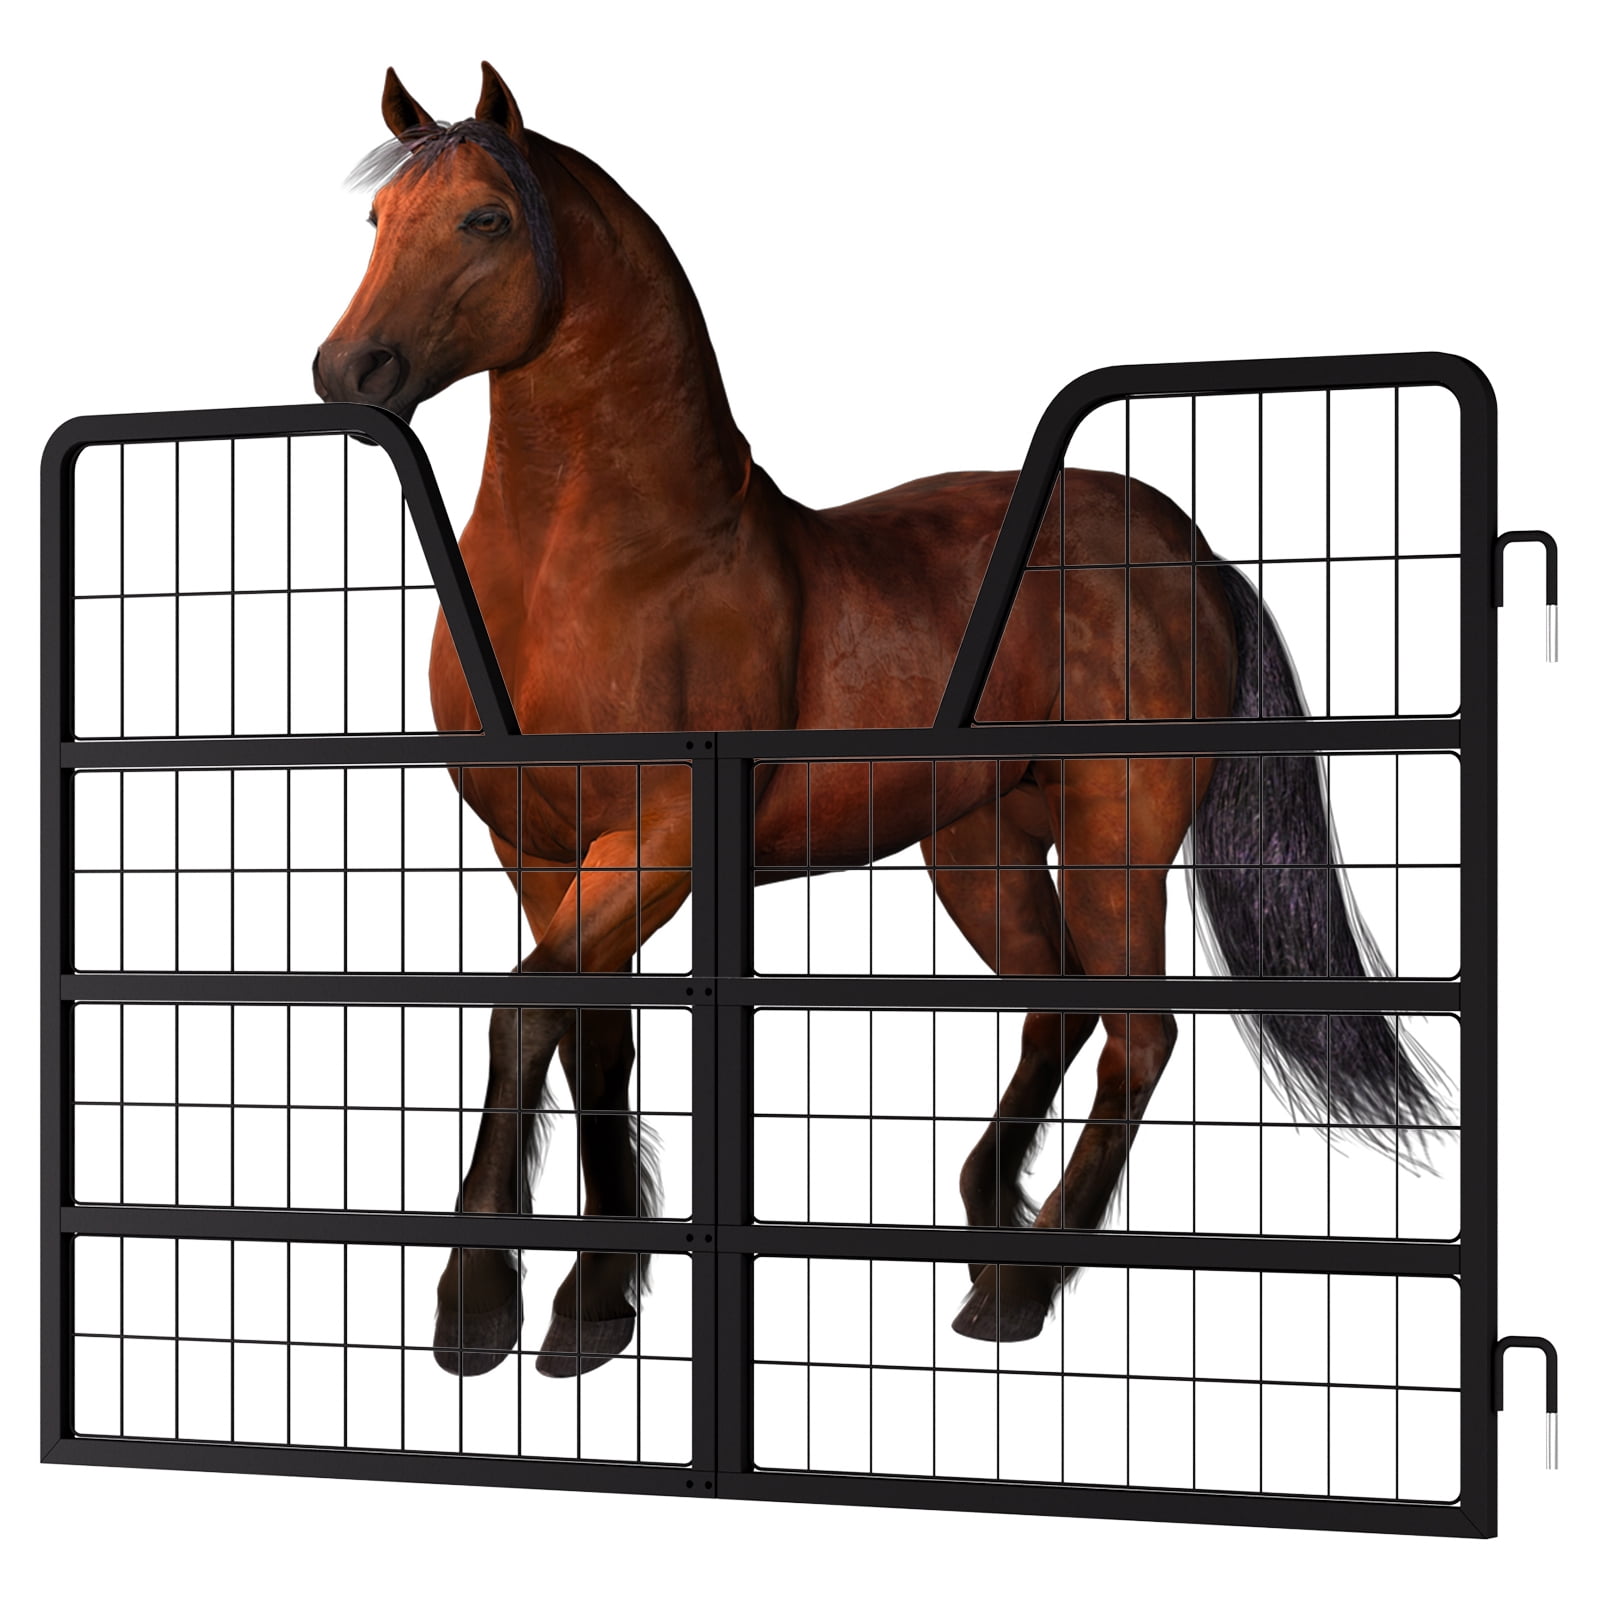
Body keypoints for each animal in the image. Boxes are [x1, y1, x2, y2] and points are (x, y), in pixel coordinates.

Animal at [314, 62, 1442, 1378]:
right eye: (378, 221)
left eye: (486, 218)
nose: (347, 373)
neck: (603, 566)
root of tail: (1190, 550)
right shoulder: (537, 849)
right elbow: (589, 1034)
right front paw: (595, 1303)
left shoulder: (659, 844)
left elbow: (521, 1010)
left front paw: (478, 1305)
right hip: (982, 847)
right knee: (1056, 1006)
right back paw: (989, 1240)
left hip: (1117, 838)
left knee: (1139, 1032)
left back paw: (1027, 1284)